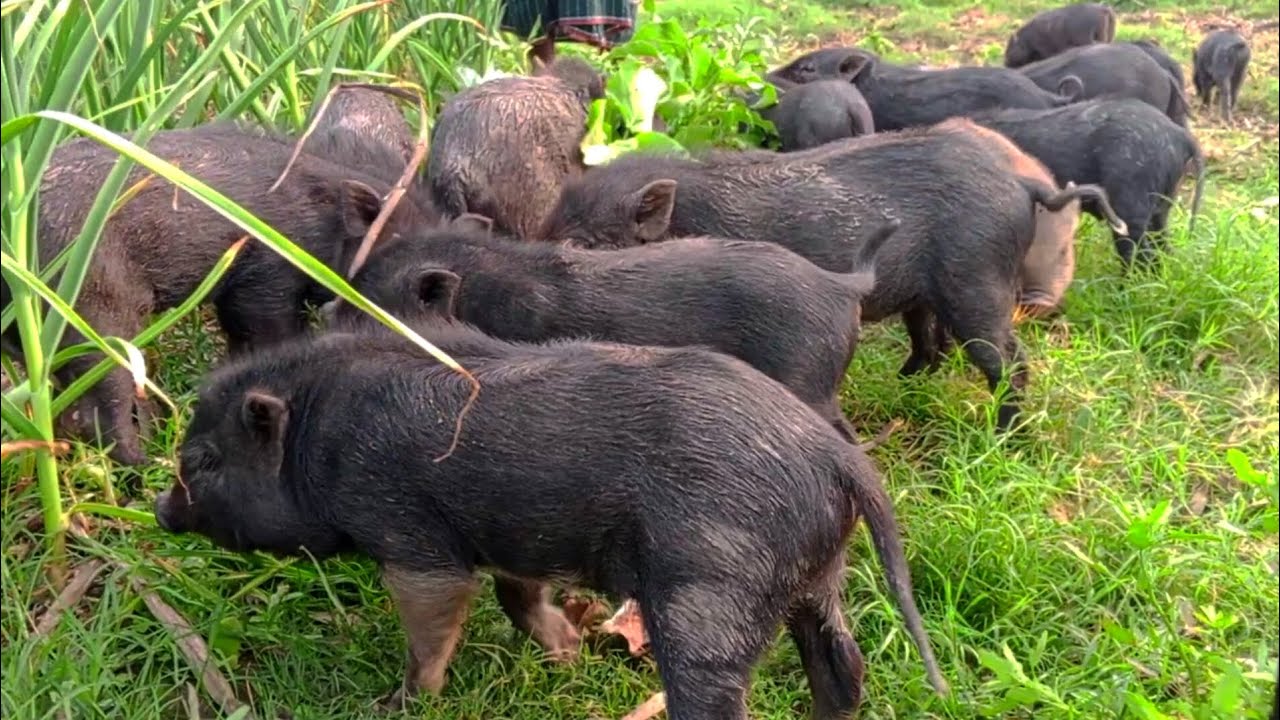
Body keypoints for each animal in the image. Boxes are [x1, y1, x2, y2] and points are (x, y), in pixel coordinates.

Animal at [11, 123, 436, 465]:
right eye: (395, 243)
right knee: (102, 399)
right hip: (96, 310)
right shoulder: (263, 282)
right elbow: (268, 338)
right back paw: (146, 463)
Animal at [153, 329, 949, 718]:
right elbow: (517, 595)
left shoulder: (410, 534)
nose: (162, 511)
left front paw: (395, 705)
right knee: (844, 666)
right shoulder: (512, 537)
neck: (320, 429)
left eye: (205, 458)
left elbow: (433, 622)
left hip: (709, 590)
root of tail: (836, 457)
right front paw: (567, 654)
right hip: (818, 575)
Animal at [540, 120, 1125, 428]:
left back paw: (1004, 437)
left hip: (976, 282)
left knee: (1009, 360)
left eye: (583, 246)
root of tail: (1023, 185)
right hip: (930, 295)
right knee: (931, 347)